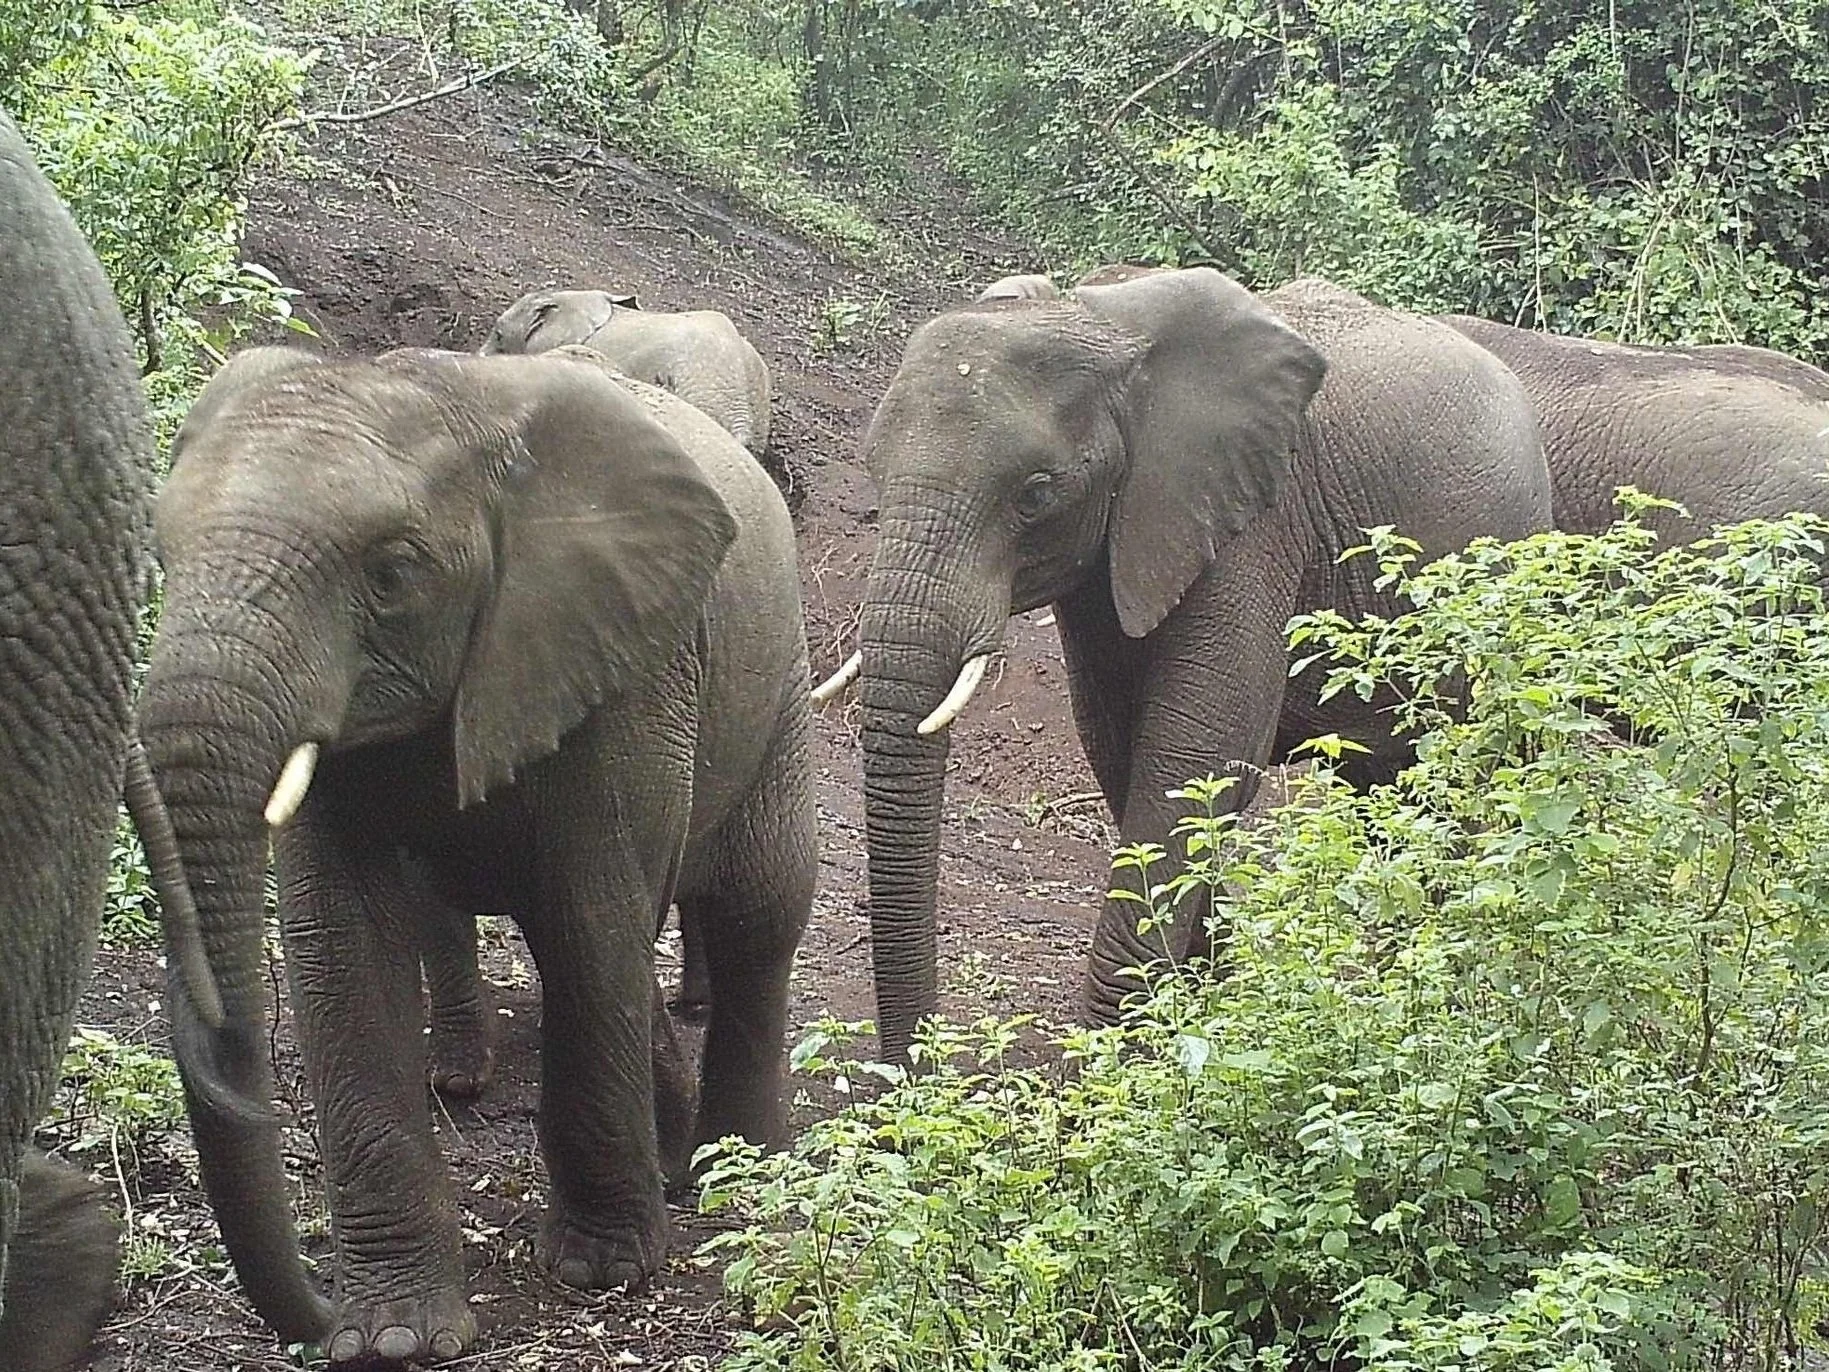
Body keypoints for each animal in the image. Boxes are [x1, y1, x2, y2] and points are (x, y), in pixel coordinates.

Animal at [137, 341, 818, 1365]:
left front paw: (601, 1273)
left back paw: (737, 1173)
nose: (314, 1309)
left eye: (392, 574)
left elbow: (589, 918)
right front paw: (391, 1336)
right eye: (162, 555)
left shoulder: (630, 665)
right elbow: (339, 945)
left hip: (777, 690)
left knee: (758, 913)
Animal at [818, 266, 1552, 1062]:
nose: (913, 1074)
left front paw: (1118, 1064)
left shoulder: (1254, 522)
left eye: (1036, 494)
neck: (1101, 322)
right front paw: (1197, 1007)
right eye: (872, 469)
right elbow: (1122, 746)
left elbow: (1194, 755)